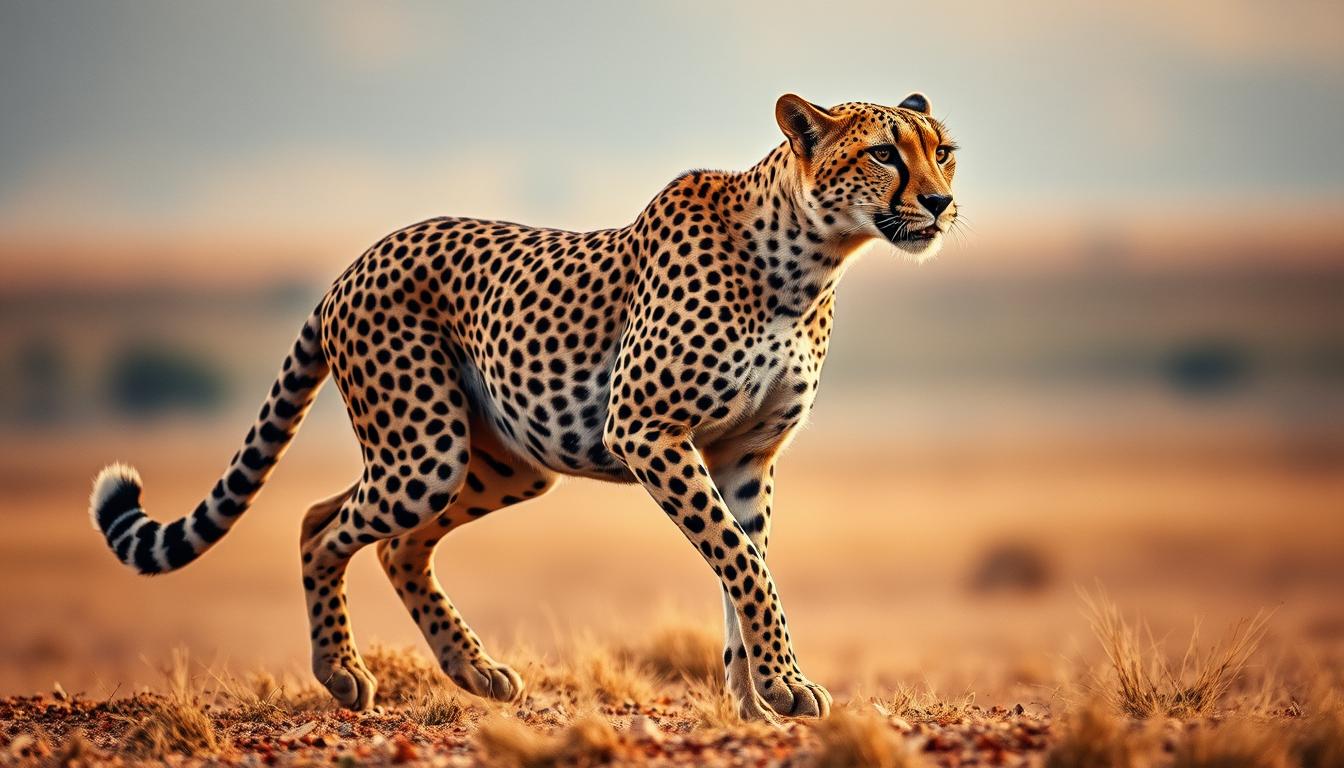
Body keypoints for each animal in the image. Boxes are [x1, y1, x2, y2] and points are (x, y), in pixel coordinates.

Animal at [89, 92, 959, 723]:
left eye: (942, 149)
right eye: (884, 152)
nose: (942, 202)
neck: (808, 261)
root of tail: (359, 258)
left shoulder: (743, 456)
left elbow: (745, 567)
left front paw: (757, 697)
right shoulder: (646, 428)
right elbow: (742, 563)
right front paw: (779, 688)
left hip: (505, 463)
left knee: (392, 545)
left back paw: (474, 670)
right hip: (426, 451)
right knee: (318, 525)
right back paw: (341, 672)